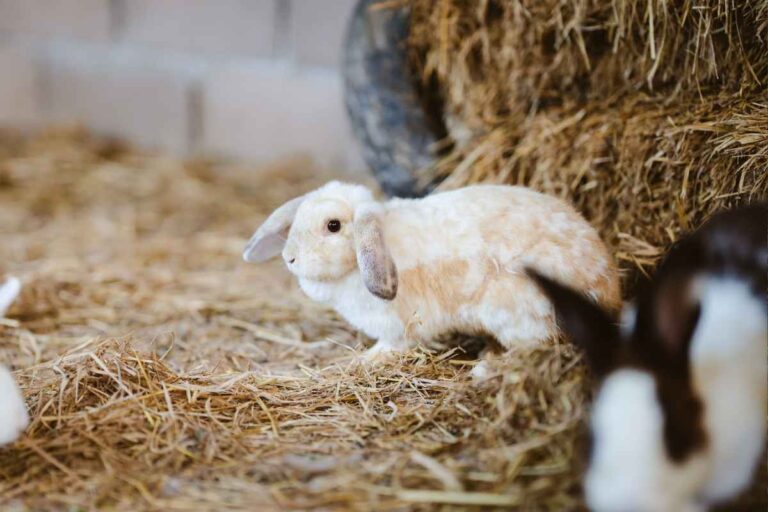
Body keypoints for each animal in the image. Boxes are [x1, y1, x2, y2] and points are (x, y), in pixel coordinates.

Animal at [243, 181, 620, 362]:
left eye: (332, 226)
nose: (290, 258)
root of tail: (608, 290)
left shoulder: (398, 326)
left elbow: (393, 344)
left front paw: (366, 360)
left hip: (518, 312)